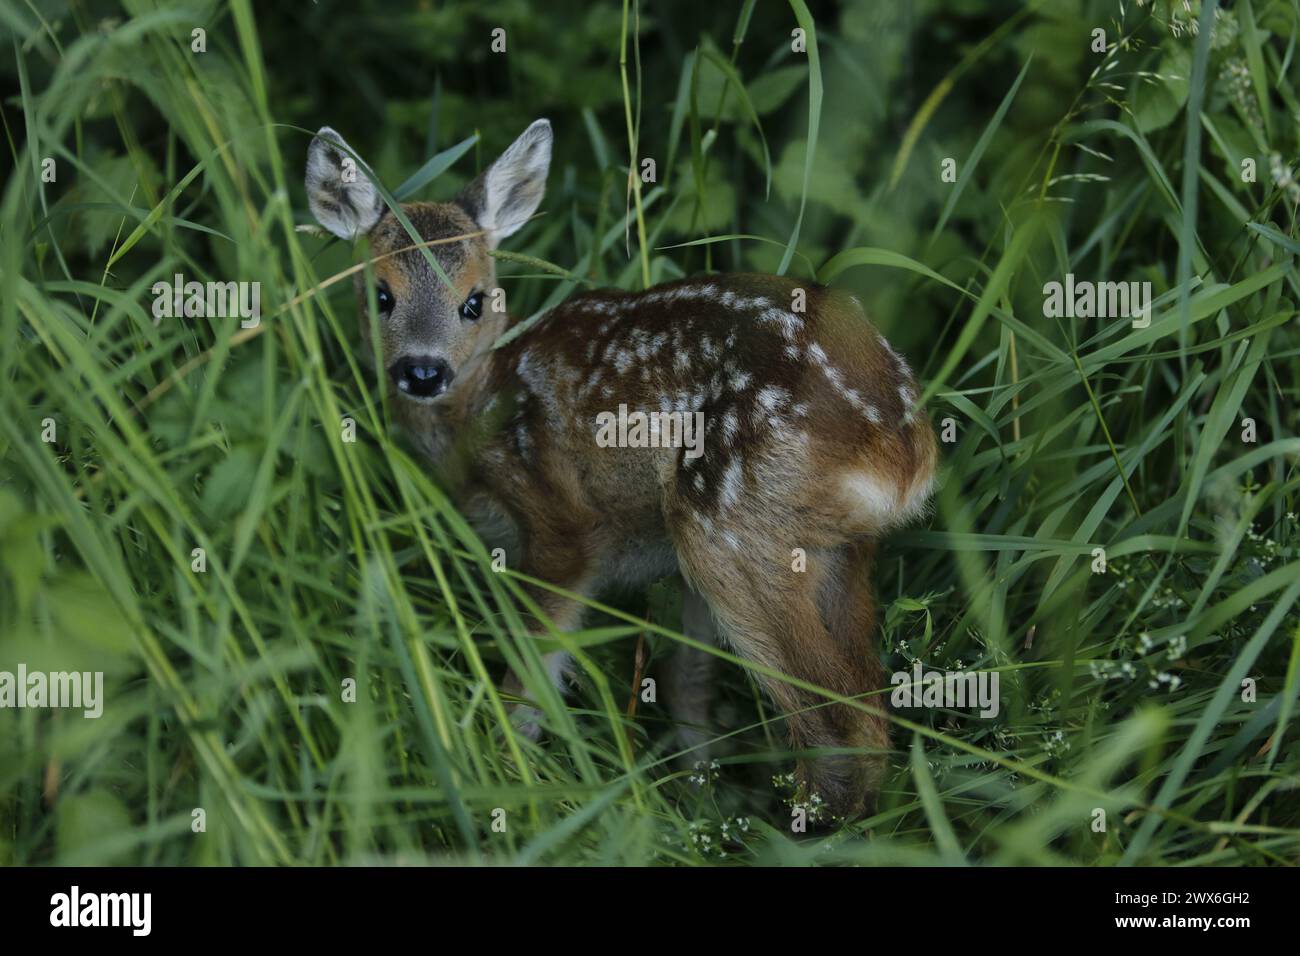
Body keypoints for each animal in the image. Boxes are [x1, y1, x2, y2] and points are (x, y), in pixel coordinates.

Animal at [305, 117, 938, 820]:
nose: (422, 370)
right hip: (835, 549)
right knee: (861, 698)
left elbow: (533, 667)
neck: (484, 411)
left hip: (727, 522)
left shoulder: (565, 529)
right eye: (381, 294)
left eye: (474, 301)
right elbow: (687, 680)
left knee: (835, 716)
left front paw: (514, 776)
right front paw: (692, 793)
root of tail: (901, 450)